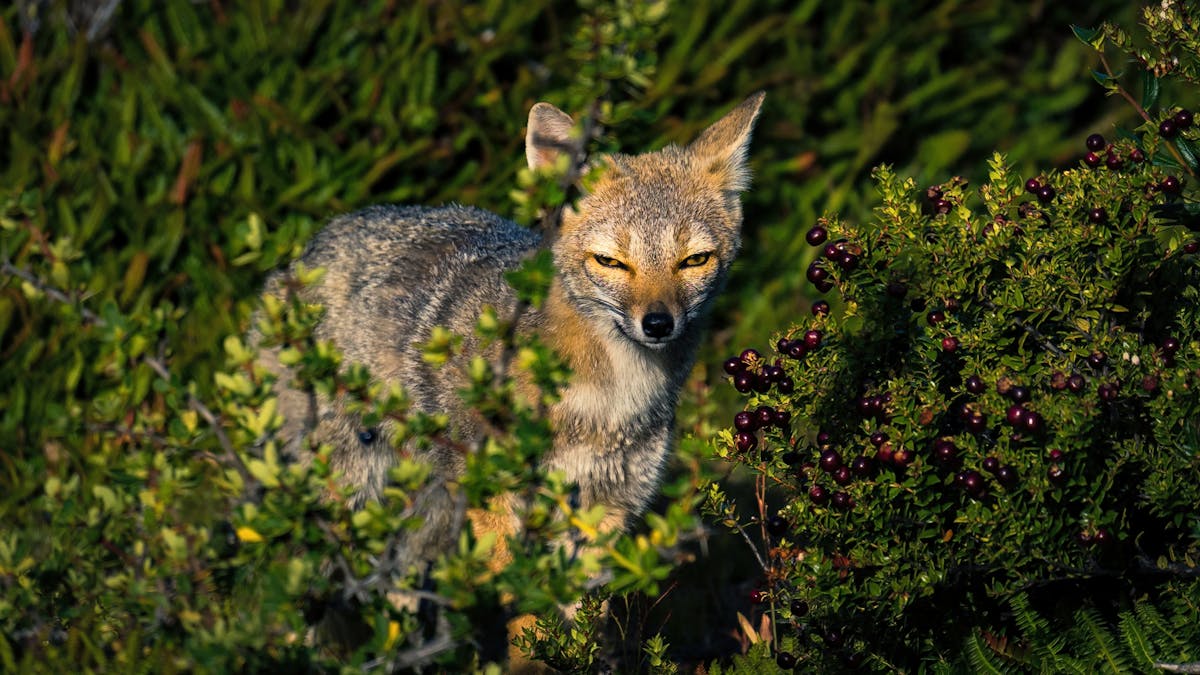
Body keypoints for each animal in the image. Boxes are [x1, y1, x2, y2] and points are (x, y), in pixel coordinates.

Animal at [255, 92, 764, 666]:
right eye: (611, 262)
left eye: (694, 260)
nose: (658, 323)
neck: (610, 401)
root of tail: (315, 241)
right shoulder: (501, 506)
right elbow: (525, 616)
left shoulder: (605, 509)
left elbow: (577, 623)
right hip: (344, 500)